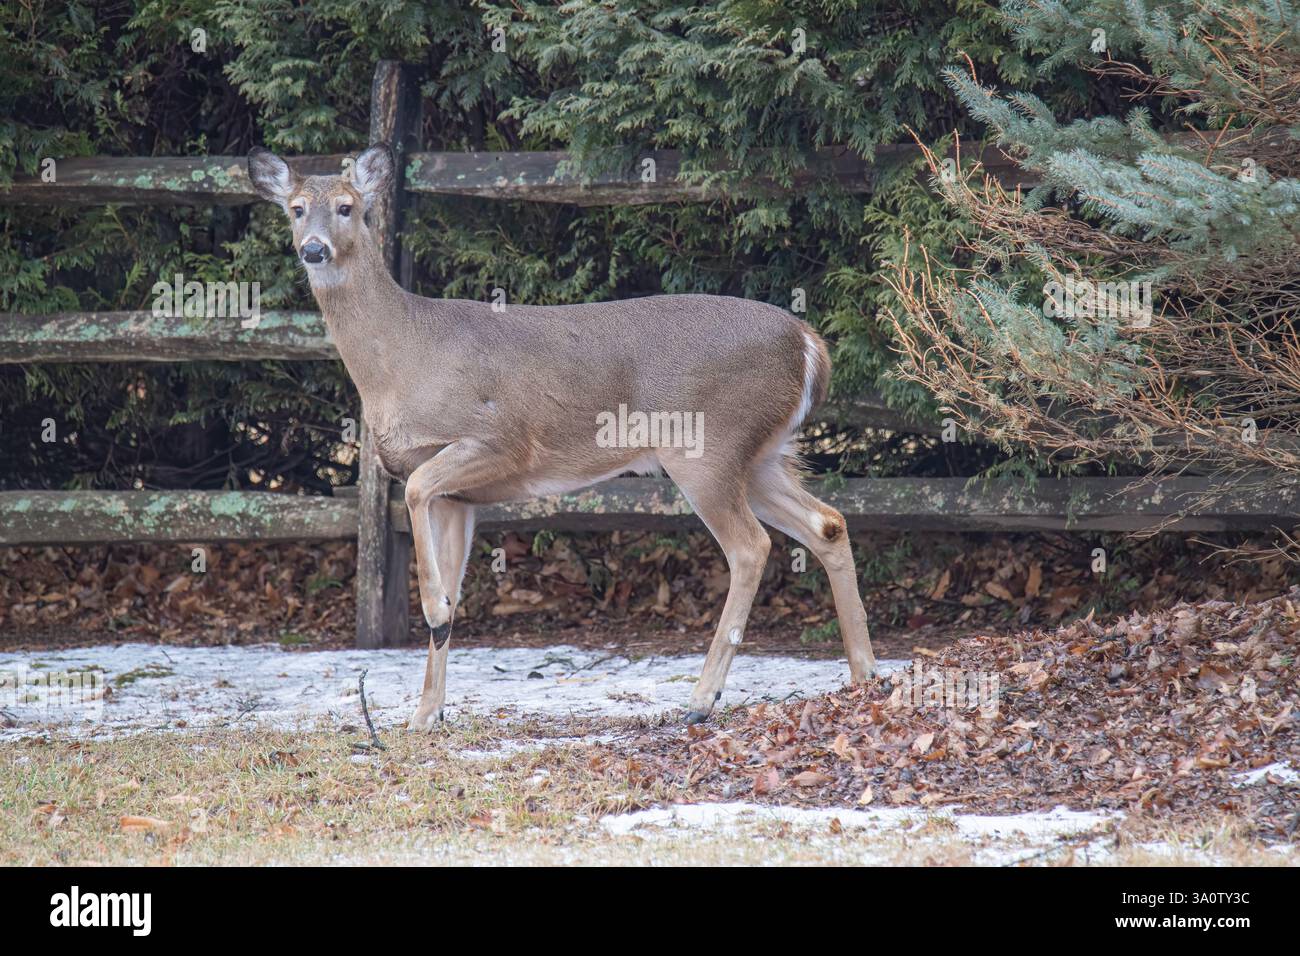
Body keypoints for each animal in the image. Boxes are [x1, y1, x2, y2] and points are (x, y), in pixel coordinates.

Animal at [247, 143, 876, 730]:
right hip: (761, 454)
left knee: (751, 546)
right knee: (827, 522)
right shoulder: (460, 499)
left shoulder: (500, 439)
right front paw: (425, 714)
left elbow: (419, 493)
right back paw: (864, 674)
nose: (313, 248)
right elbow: (452, 575)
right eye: (296, 209)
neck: (401, 359)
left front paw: (432, 616)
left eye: (347, 207)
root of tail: (808, 343)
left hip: (708, 446)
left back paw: (702, 699)